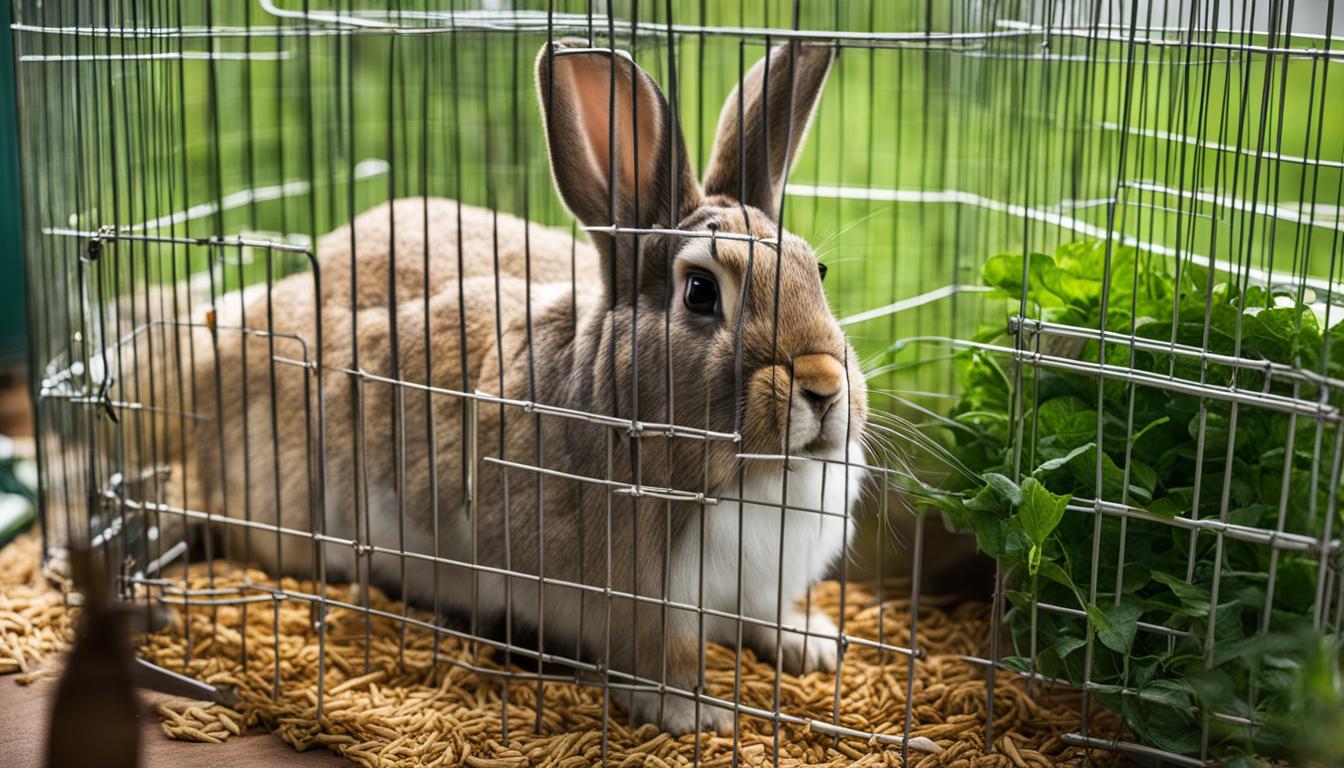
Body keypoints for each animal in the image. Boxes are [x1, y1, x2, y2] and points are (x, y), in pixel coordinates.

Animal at [189, 37, 866, 736]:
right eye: (701, 292)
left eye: (817, 270)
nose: (823, 387)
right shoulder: (643, 604)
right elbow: (659, 661)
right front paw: (693, 715)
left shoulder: (757, 589)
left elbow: (766, 616)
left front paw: (810, 645)